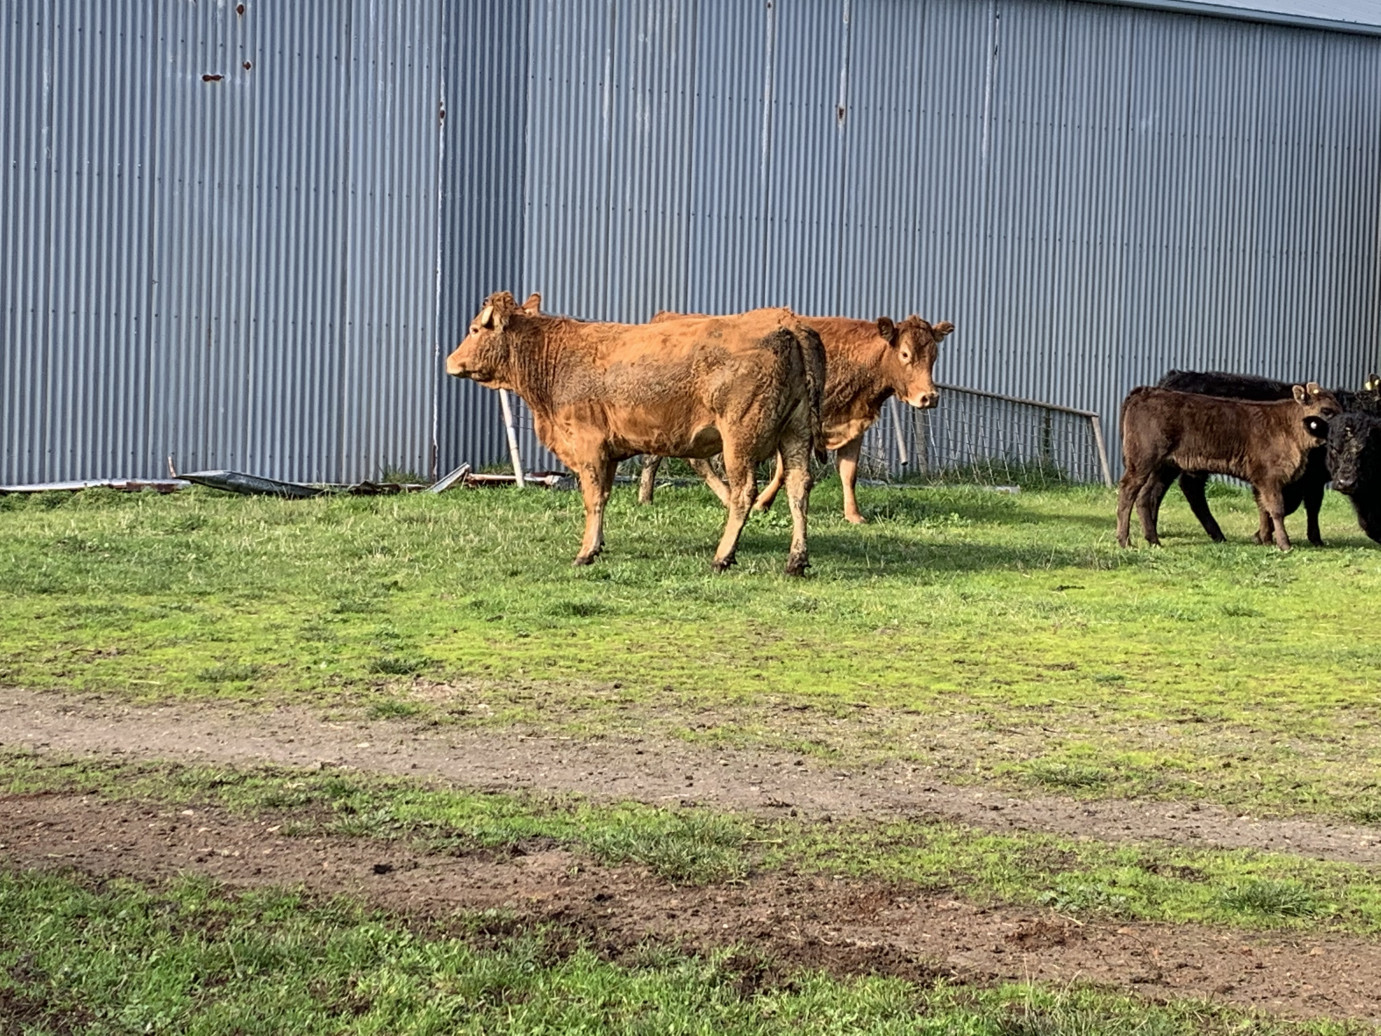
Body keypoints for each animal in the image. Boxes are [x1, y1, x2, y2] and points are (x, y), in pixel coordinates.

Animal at [445, 292, 825, 575]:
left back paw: (722, 556)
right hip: (796, 431)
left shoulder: (588, 444)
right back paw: (796, 560)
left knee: (743, 492)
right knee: (798, 488)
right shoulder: (609, 450)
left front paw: (585, 552)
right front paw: (598, 544)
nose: (450, 360)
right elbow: (604, 496)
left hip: (740, 437)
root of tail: (786, 320)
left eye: (475, 329)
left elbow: (592, 498)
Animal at [639, 314, 954, 523]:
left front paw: (854, 515)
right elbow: (781, 472)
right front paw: (762, 503)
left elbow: (848, 473)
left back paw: (649, 496)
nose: (929, 397)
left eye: (934, 356)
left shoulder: (854, 425)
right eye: (905, 354)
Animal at [1116, 383, 1340, 551]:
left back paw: (1153, 540)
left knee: (1146, 496)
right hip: (1142, 462)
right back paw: (1125, 541)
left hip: (1163, 467)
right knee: (1128, 491)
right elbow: (1276, 509)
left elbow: (1263, 509)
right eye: (1326, 410)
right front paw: (1284, 544)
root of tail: (1145, 391)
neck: (1287, 426)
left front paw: (1266, 540)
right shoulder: (1269, 478)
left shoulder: (1260, 481)